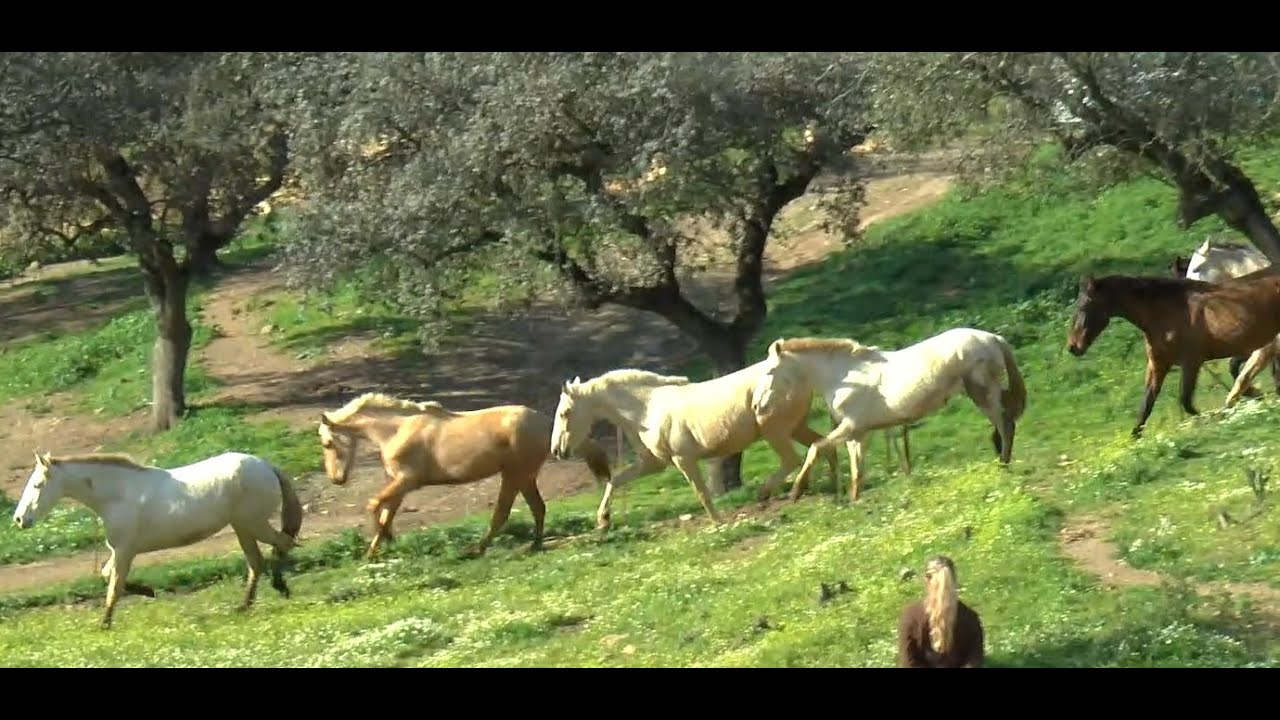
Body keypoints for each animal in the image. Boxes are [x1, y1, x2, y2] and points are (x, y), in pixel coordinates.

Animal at [11, 450, 303, 629]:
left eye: (37, 484)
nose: (19, 519)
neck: (118, 495)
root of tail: (266, 465)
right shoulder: (119, 551)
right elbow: (108, 577)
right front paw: (149, 591)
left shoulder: (125, 551)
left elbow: (114, 587)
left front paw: (104, 625)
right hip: (243, 527)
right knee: (258, 561)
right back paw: (245, 605)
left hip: (251, 524)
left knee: (281, 545)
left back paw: (280, 588)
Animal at [317, 392, 613, 558]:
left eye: (328, 443)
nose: (336, 479)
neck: (398, 430)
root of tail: (546, 426)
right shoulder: (399, 485)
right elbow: (385, 512)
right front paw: (372, 553)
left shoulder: (406, 481)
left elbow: (374, 506)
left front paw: (387, 540)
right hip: (524, 477)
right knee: (537, 508)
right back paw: (535, 545)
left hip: (514, 476)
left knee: (503, 514)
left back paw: (476, 550)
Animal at [549, 364, 840, 530]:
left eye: (564, 413)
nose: (557, 451)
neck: (647, 408)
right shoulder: (654, 464)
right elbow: (615, 480)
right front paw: (603, 521)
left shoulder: (683, 459)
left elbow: (701, 493)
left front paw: (718, 522)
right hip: (795, 428)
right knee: (823, 445)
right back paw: (828, 486)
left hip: (775, 431)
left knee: (793, 458)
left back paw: (770, 492)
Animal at [749, 328, 1027, 503]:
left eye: (770, 371)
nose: (756, 406)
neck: (843, 377)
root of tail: (994, 338)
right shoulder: (858, 435)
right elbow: (857, 472)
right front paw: (854, 502)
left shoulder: (849, 427)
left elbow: (816, 447)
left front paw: (795, 491)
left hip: (982, 393)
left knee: (1005, 426)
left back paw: (1003, 467)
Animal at [1066, 270, 1280, 438]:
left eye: (1084, 306)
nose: (1072, 347)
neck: (1167, 313)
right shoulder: (1158, 365)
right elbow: (1146, 404)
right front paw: (1134, 439)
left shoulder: (1191, 362)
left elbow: (1185, 401)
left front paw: (1212, 417)